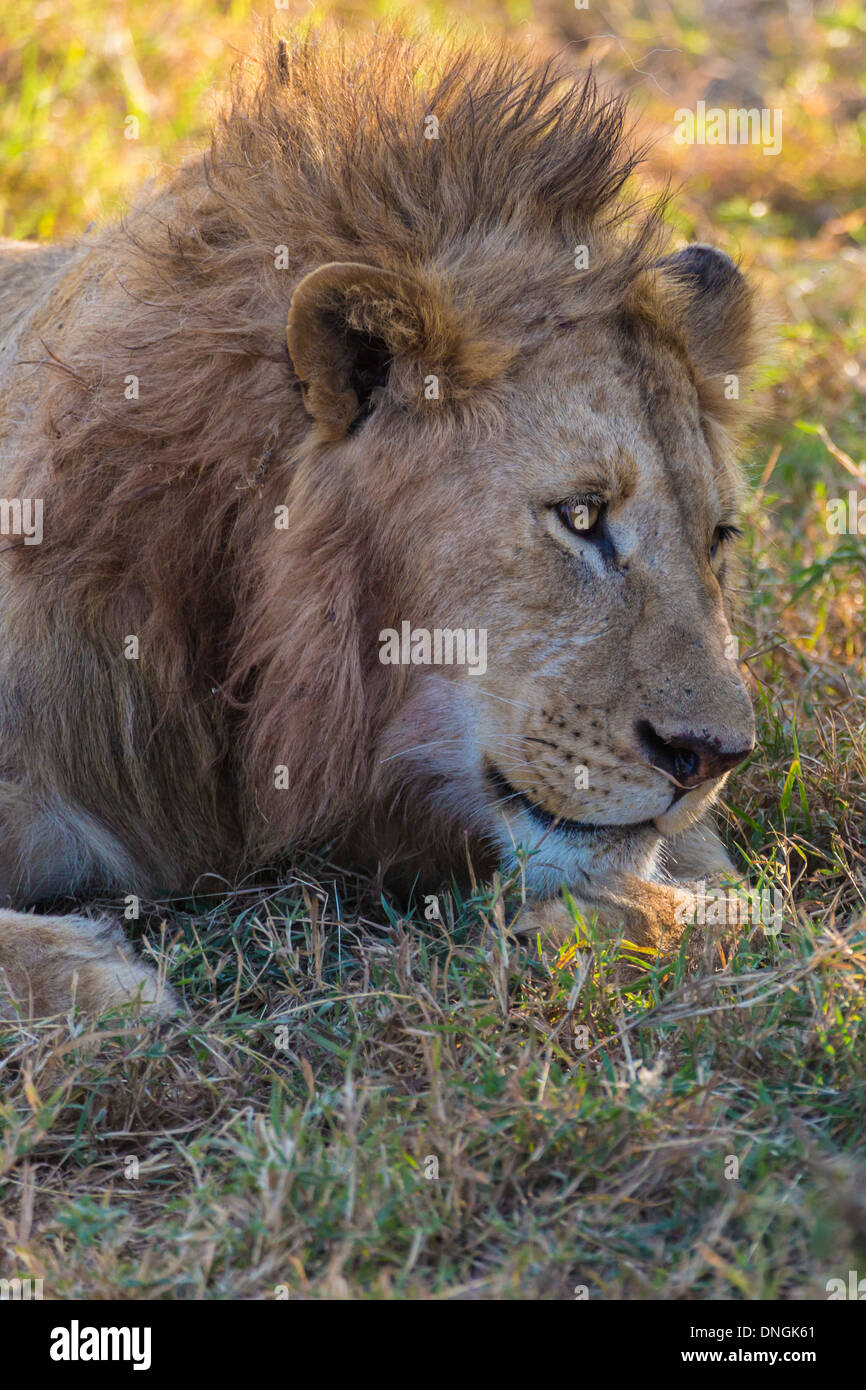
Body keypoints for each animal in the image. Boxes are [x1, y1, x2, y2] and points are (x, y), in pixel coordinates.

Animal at [0, 28, 757, 1020]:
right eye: (582, 516)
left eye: (717, 540)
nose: (712, 757)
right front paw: (104, 979)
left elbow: (729, 894)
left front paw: (601, 919)